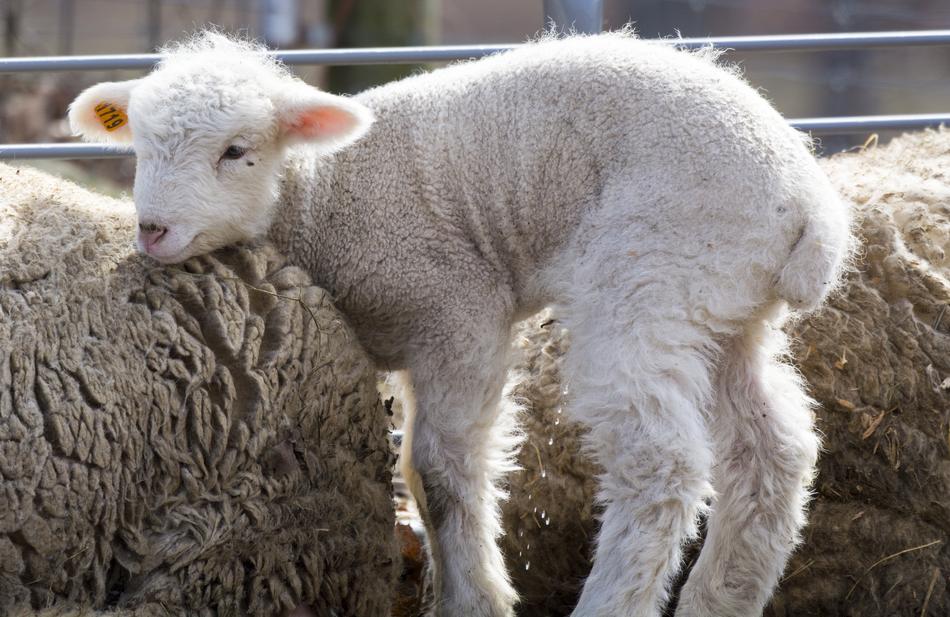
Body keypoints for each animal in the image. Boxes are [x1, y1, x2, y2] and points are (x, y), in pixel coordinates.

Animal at [68, 30, 852, 617]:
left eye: (236, 150)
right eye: (139, 146)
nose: (152, 230)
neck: (324, 193)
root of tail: (807, 200)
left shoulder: (457, 312)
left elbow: (440, 472)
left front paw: (472, 597)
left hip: (648, 278)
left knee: (660, 466)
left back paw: (613, 598)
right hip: (720, 306)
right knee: (773, 452)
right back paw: (723, 597)